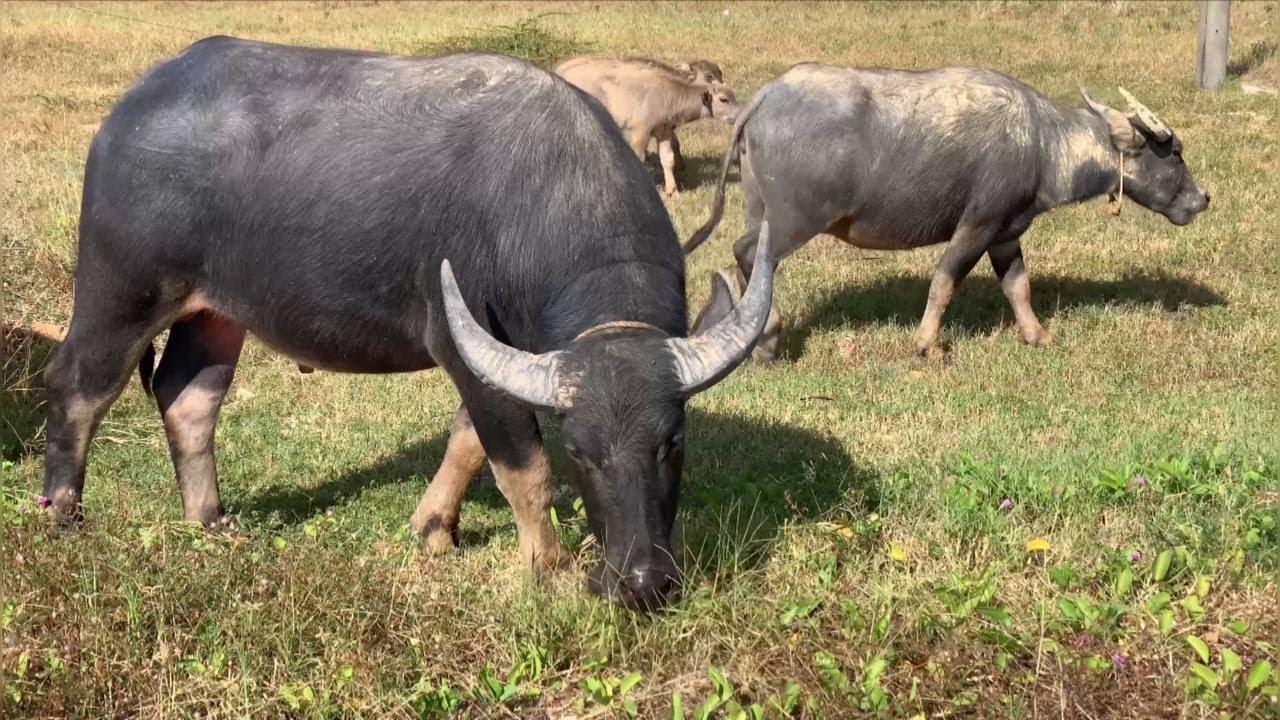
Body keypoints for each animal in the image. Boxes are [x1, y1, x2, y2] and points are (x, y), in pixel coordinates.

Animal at [555, 56, 739, 197]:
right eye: (723, 99)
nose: (737, 116)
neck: (671, 93)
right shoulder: (640, 133)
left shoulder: (664, 132)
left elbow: (667, 160)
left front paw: (673, 192)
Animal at [684, 64, 1210, 361]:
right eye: (1174, 153)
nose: (1203, 199)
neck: (1042, 144)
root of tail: (766, 96)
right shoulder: (977, 226)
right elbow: (944, 281)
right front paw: (925, 345)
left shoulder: (1007, 233)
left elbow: (1018, 286)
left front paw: (1036, 335)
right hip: (795, 220)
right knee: (749, 253)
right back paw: (770, 336)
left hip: (760, 208)